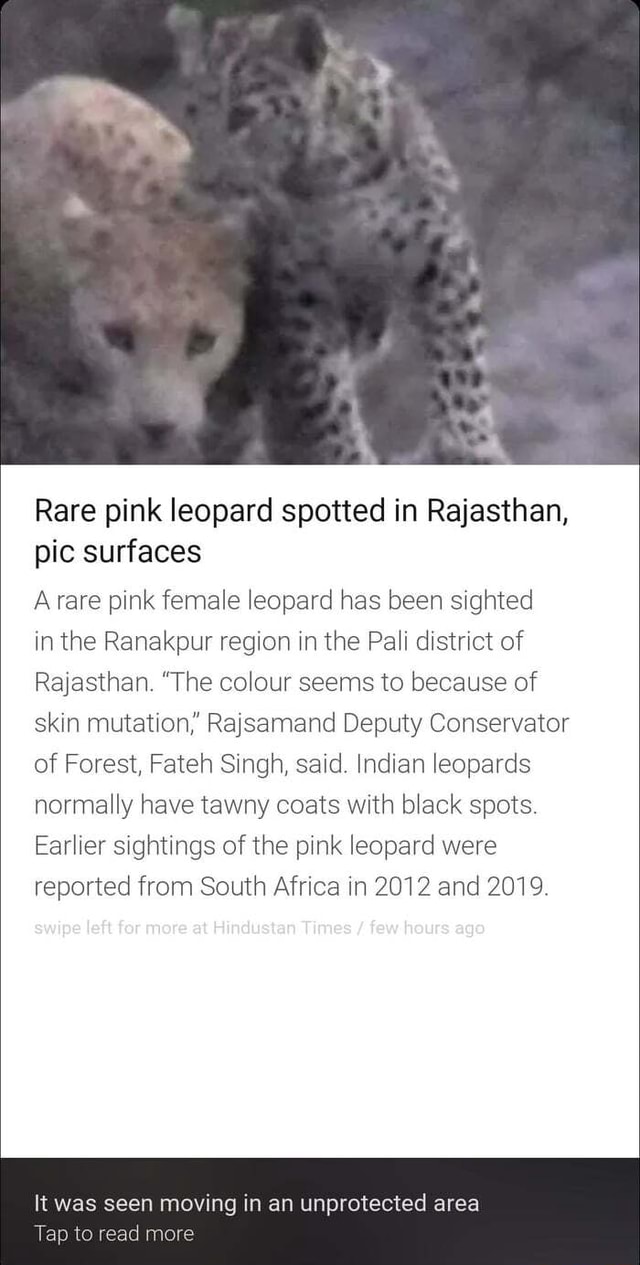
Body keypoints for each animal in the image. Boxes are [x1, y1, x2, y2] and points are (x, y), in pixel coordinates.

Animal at [165, 3, 509, 464]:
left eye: (243, 115)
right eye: (192, 115)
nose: (202, 181)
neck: (327, 177)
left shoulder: (439, 252)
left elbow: (460, 358)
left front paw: (469, 443)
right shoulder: (299, 292)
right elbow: (323, 394)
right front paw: (348, 457)